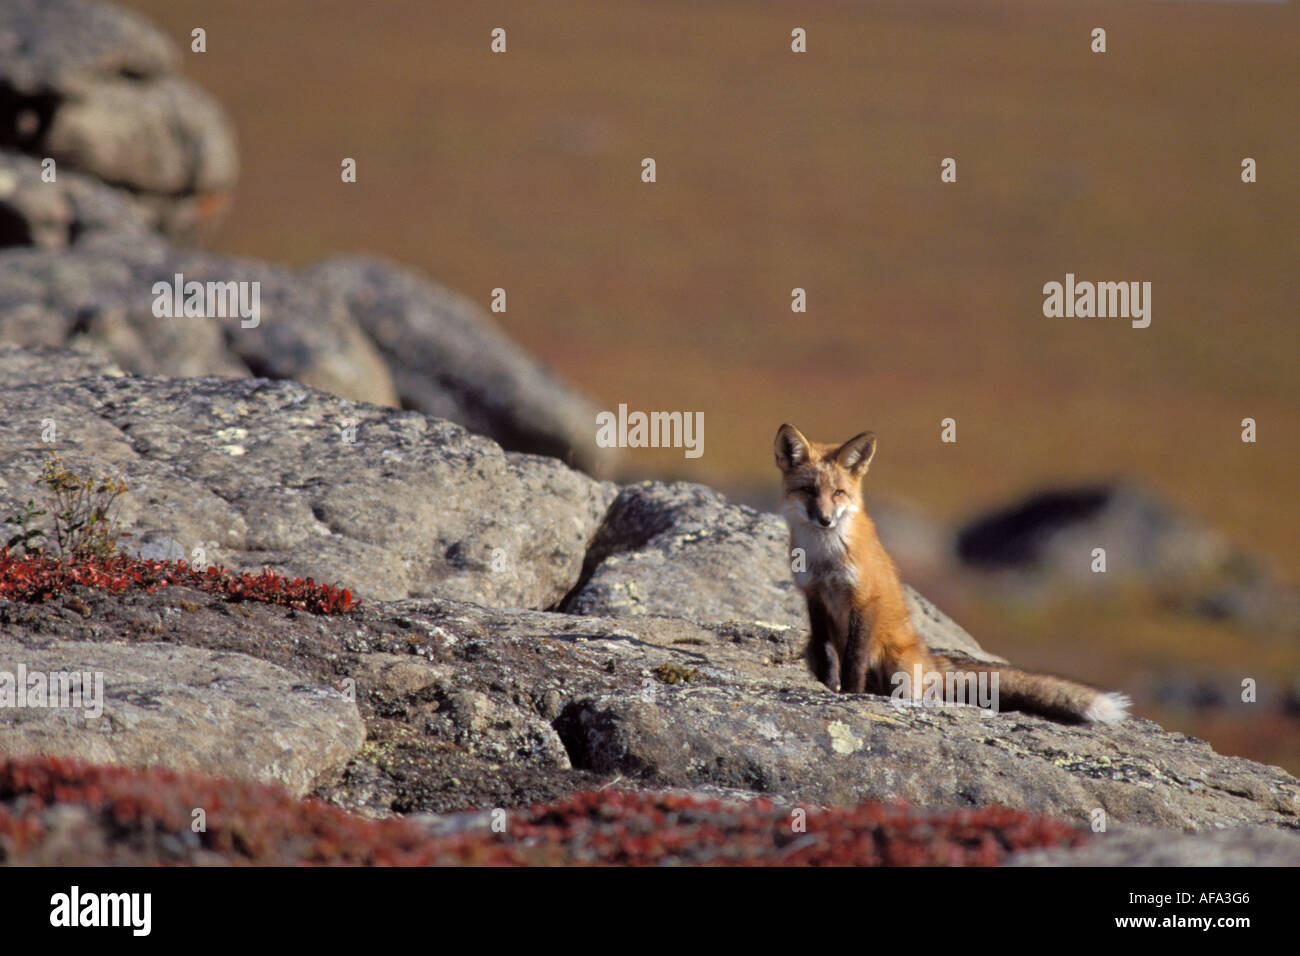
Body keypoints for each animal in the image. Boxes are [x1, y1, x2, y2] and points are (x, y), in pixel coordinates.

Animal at [774, 423, 1130, 724]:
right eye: (808, 490)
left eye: (838, 493)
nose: (825, 520)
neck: (825, 556)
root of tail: (930, 656)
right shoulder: (814, 596)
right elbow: (827, 653)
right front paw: (829, 686)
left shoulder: (864, 598)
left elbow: (854, 659)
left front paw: (849, 693)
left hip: (901, 668)